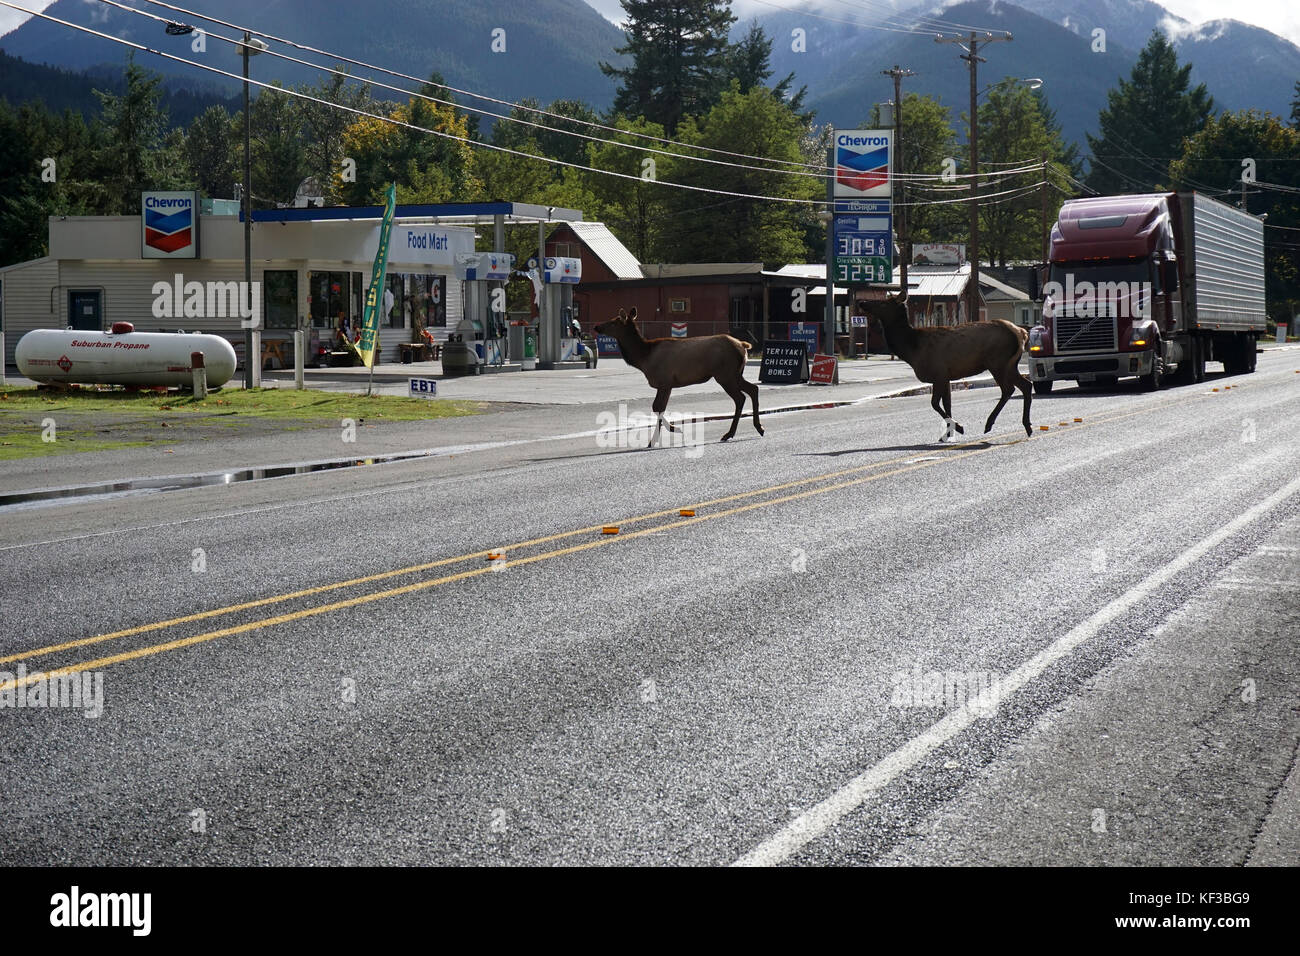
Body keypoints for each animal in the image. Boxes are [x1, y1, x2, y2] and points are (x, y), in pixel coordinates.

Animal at [593, 308, 763, 446]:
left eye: (614, 321)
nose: (596, 326)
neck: (643, 358)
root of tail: (743, 346)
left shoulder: (664, 381)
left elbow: (657, 407)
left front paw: (666, 433)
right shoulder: (667, 384)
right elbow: (659, 407)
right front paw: (660, 436)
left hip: (725, 374)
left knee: (740, 397)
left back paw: (730, 433)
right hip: (735, 374)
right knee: (753, 389)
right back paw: (758, 427)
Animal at [861, 293, 1033, 442]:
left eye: (883, 303)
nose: (863, 303)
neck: (911, 350)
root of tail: (1021, 332)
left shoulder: (938, 373)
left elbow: (935, 404)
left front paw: (959, 428)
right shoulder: (946, 376)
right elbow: (947, 404)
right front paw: (949, 433)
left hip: (997, 362)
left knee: (1008, 389)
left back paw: (990, 423)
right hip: (1010, 365)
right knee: (1026, 385)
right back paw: (1027, 426)